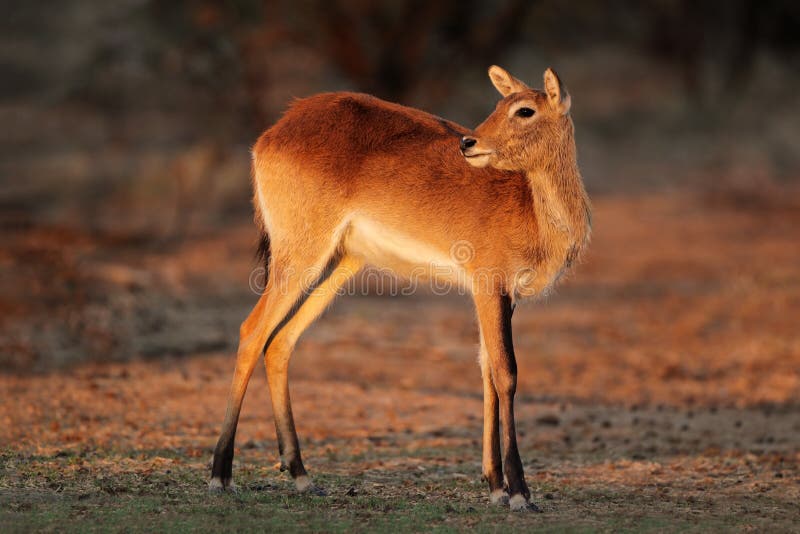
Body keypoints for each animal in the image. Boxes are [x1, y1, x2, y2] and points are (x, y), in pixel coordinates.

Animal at [210, 66, 591, 511]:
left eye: (524, 109)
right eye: (502, 104)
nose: (469, 143)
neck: (533, 208)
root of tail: (275, 131)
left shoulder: (500, 296)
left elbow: (486, 369)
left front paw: (495, 485)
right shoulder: (489, 285)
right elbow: (505, 372)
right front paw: (518, 491)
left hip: (340, 262)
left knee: (282, 341)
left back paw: (302, 475)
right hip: (301, 255)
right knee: (253, 331)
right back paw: (220, 474)